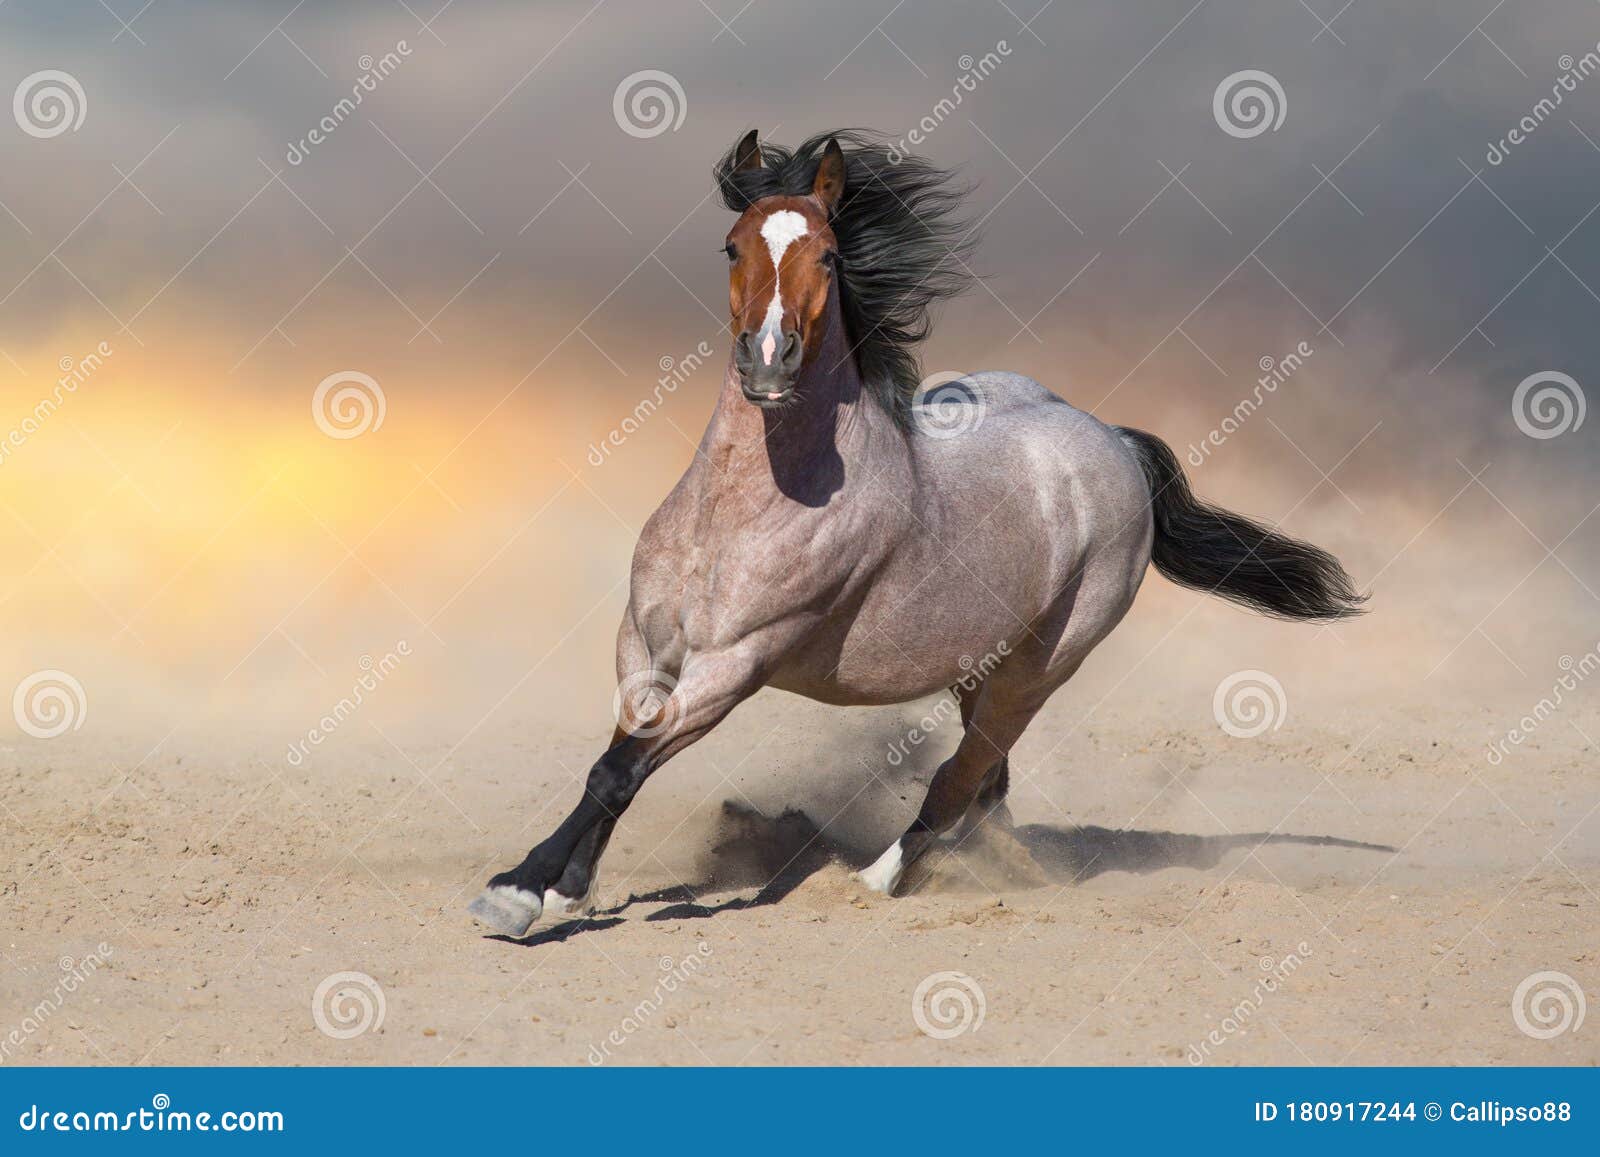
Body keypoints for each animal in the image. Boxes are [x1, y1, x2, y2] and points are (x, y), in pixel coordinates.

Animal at [468, 129, 1365, 937]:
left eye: (829, 258)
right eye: (731, 247)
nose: (768, 363)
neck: (737, 509)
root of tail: (1111, 439)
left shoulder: (735, 661)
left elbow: (618, 768)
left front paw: (517, 893)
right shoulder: (645, 644)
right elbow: (618, 755)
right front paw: (564, 886)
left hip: (1039, 668)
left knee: (958, 779)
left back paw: (879, 879)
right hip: (979, 667)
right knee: (988, 785)